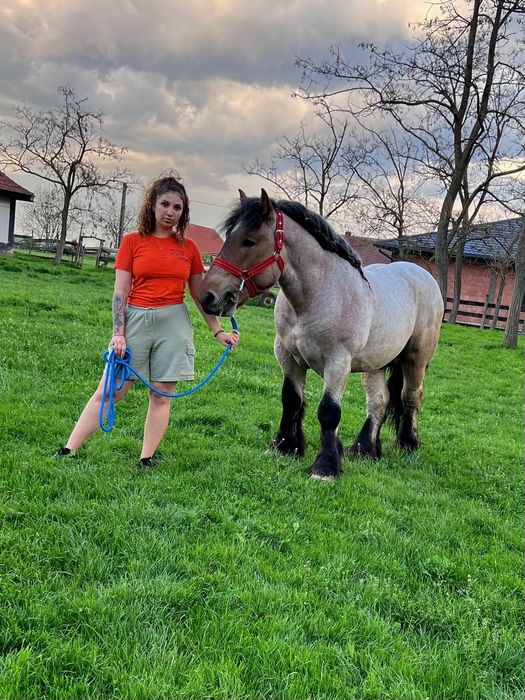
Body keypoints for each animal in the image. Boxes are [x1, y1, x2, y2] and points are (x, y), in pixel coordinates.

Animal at [200, 189, 444, 480]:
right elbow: (291, 400)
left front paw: (325, 467)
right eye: (228, 236)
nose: (208, 296)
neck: (317, 295)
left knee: (411, 396)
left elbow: (329, 412)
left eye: (249, 241)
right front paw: (285, 446)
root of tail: (421, 274)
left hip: (415, 358)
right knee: (379, 401)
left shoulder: (337, 362)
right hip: (375, 363)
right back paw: (363, 449)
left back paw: (407, 444)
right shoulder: (287, 356)